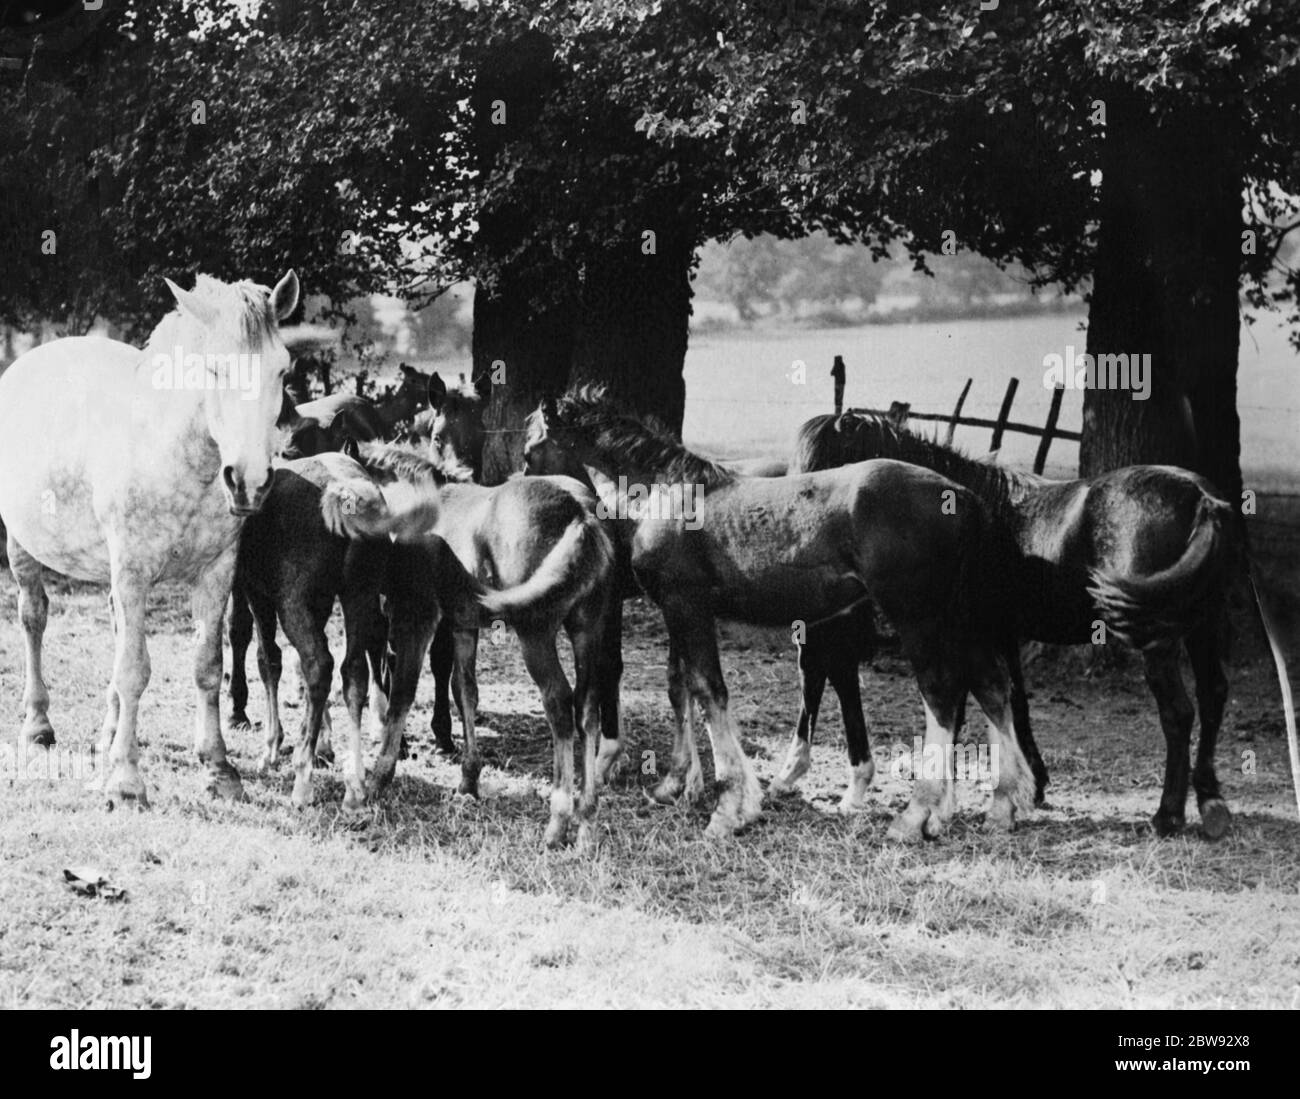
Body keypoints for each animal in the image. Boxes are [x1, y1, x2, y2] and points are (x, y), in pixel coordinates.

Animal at [0, 270, 300, 808]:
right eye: (214, 369)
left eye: (282, 371)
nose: (249, 482)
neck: (177, 455)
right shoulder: (134, 571)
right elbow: (135, 670)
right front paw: (125, 781)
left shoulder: (216, 572)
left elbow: (207, 665)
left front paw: (219, 769)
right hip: (24, 546)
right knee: (33, 618)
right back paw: (38, 725)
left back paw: (105, 734)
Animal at [321, 441, 621, 848]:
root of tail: (582, 513)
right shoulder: (463, 626)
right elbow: (465, 691)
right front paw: (468, 781)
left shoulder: (416, 615)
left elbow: (403, 692)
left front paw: (380, 779)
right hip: (588, 629)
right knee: (588, 709)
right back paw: (587, 823)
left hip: (536, 630)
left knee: (559, 703)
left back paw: (558, 822)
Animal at [524, 388, 1038, 842]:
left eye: (532, 449)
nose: (523, 491)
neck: (665, 491)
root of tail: (965, 496)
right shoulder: (681, 612)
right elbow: (686, 687)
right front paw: (688, 788)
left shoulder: (686, 605)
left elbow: (709, 692)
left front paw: (729, 810)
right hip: (956, 618)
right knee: (991, 686)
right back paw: (1001, 807)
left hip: (917, 617)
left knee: (942, 693)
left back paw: (915, 818)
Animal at [789, 411, 1300, 837]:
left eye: (824, 468)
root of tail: (1204, 500)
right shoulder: (997, 633)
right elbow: (1010, 700)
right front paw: (1027, 789)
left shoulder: (972, 631)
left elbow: (971, 704)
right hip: (1206, 625)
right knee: (1214, 698)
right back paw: (1211, 806)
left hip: (1160, 639)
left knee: (1178, 713)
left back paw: (1167, 816)